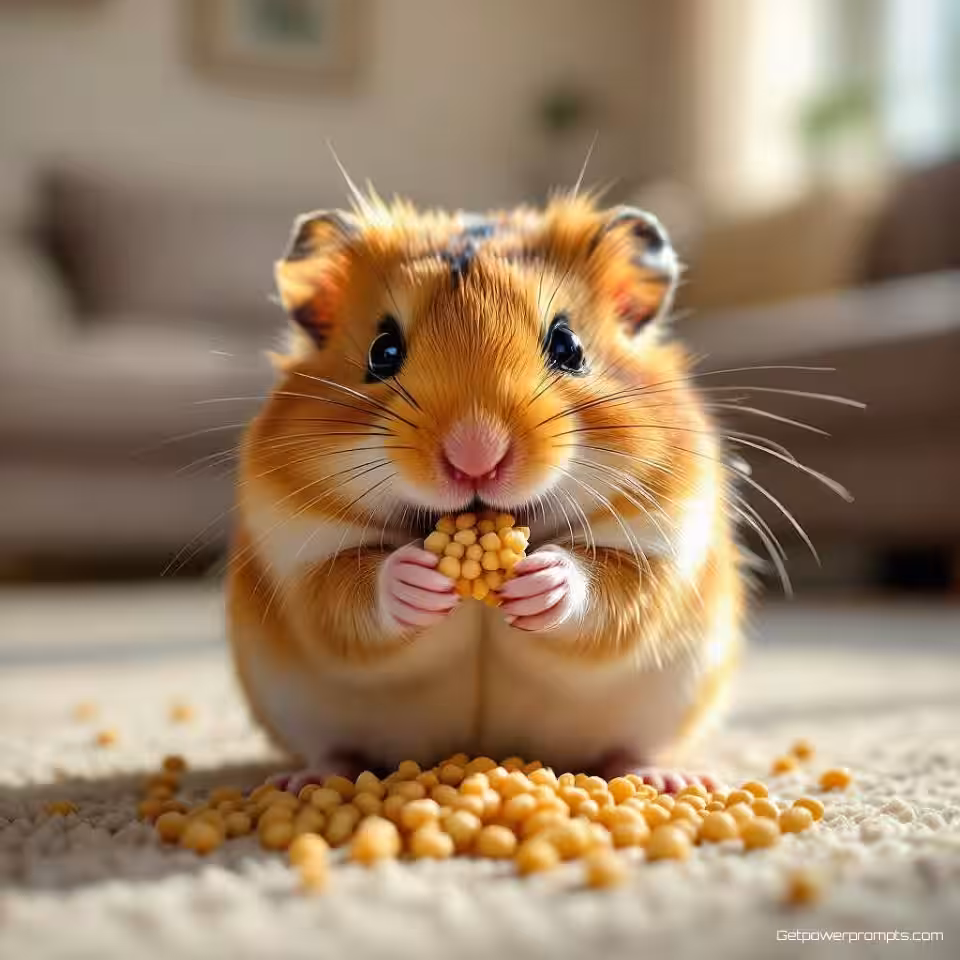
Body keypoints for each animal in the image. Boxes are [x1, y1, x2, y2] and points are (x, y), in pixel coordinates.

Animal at [226, 192, 744, 790]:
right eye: (383, 351)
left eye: (568, 346)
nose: (476, 456)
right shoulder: (300, 551)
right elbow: (348, 592)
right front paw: (415, 577)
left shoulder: (660, 540)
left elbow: (608, 590)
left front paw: (542, 579)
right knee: (334, 750)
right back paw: (303, 780)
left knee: (627, 750)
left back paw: (666, 779)